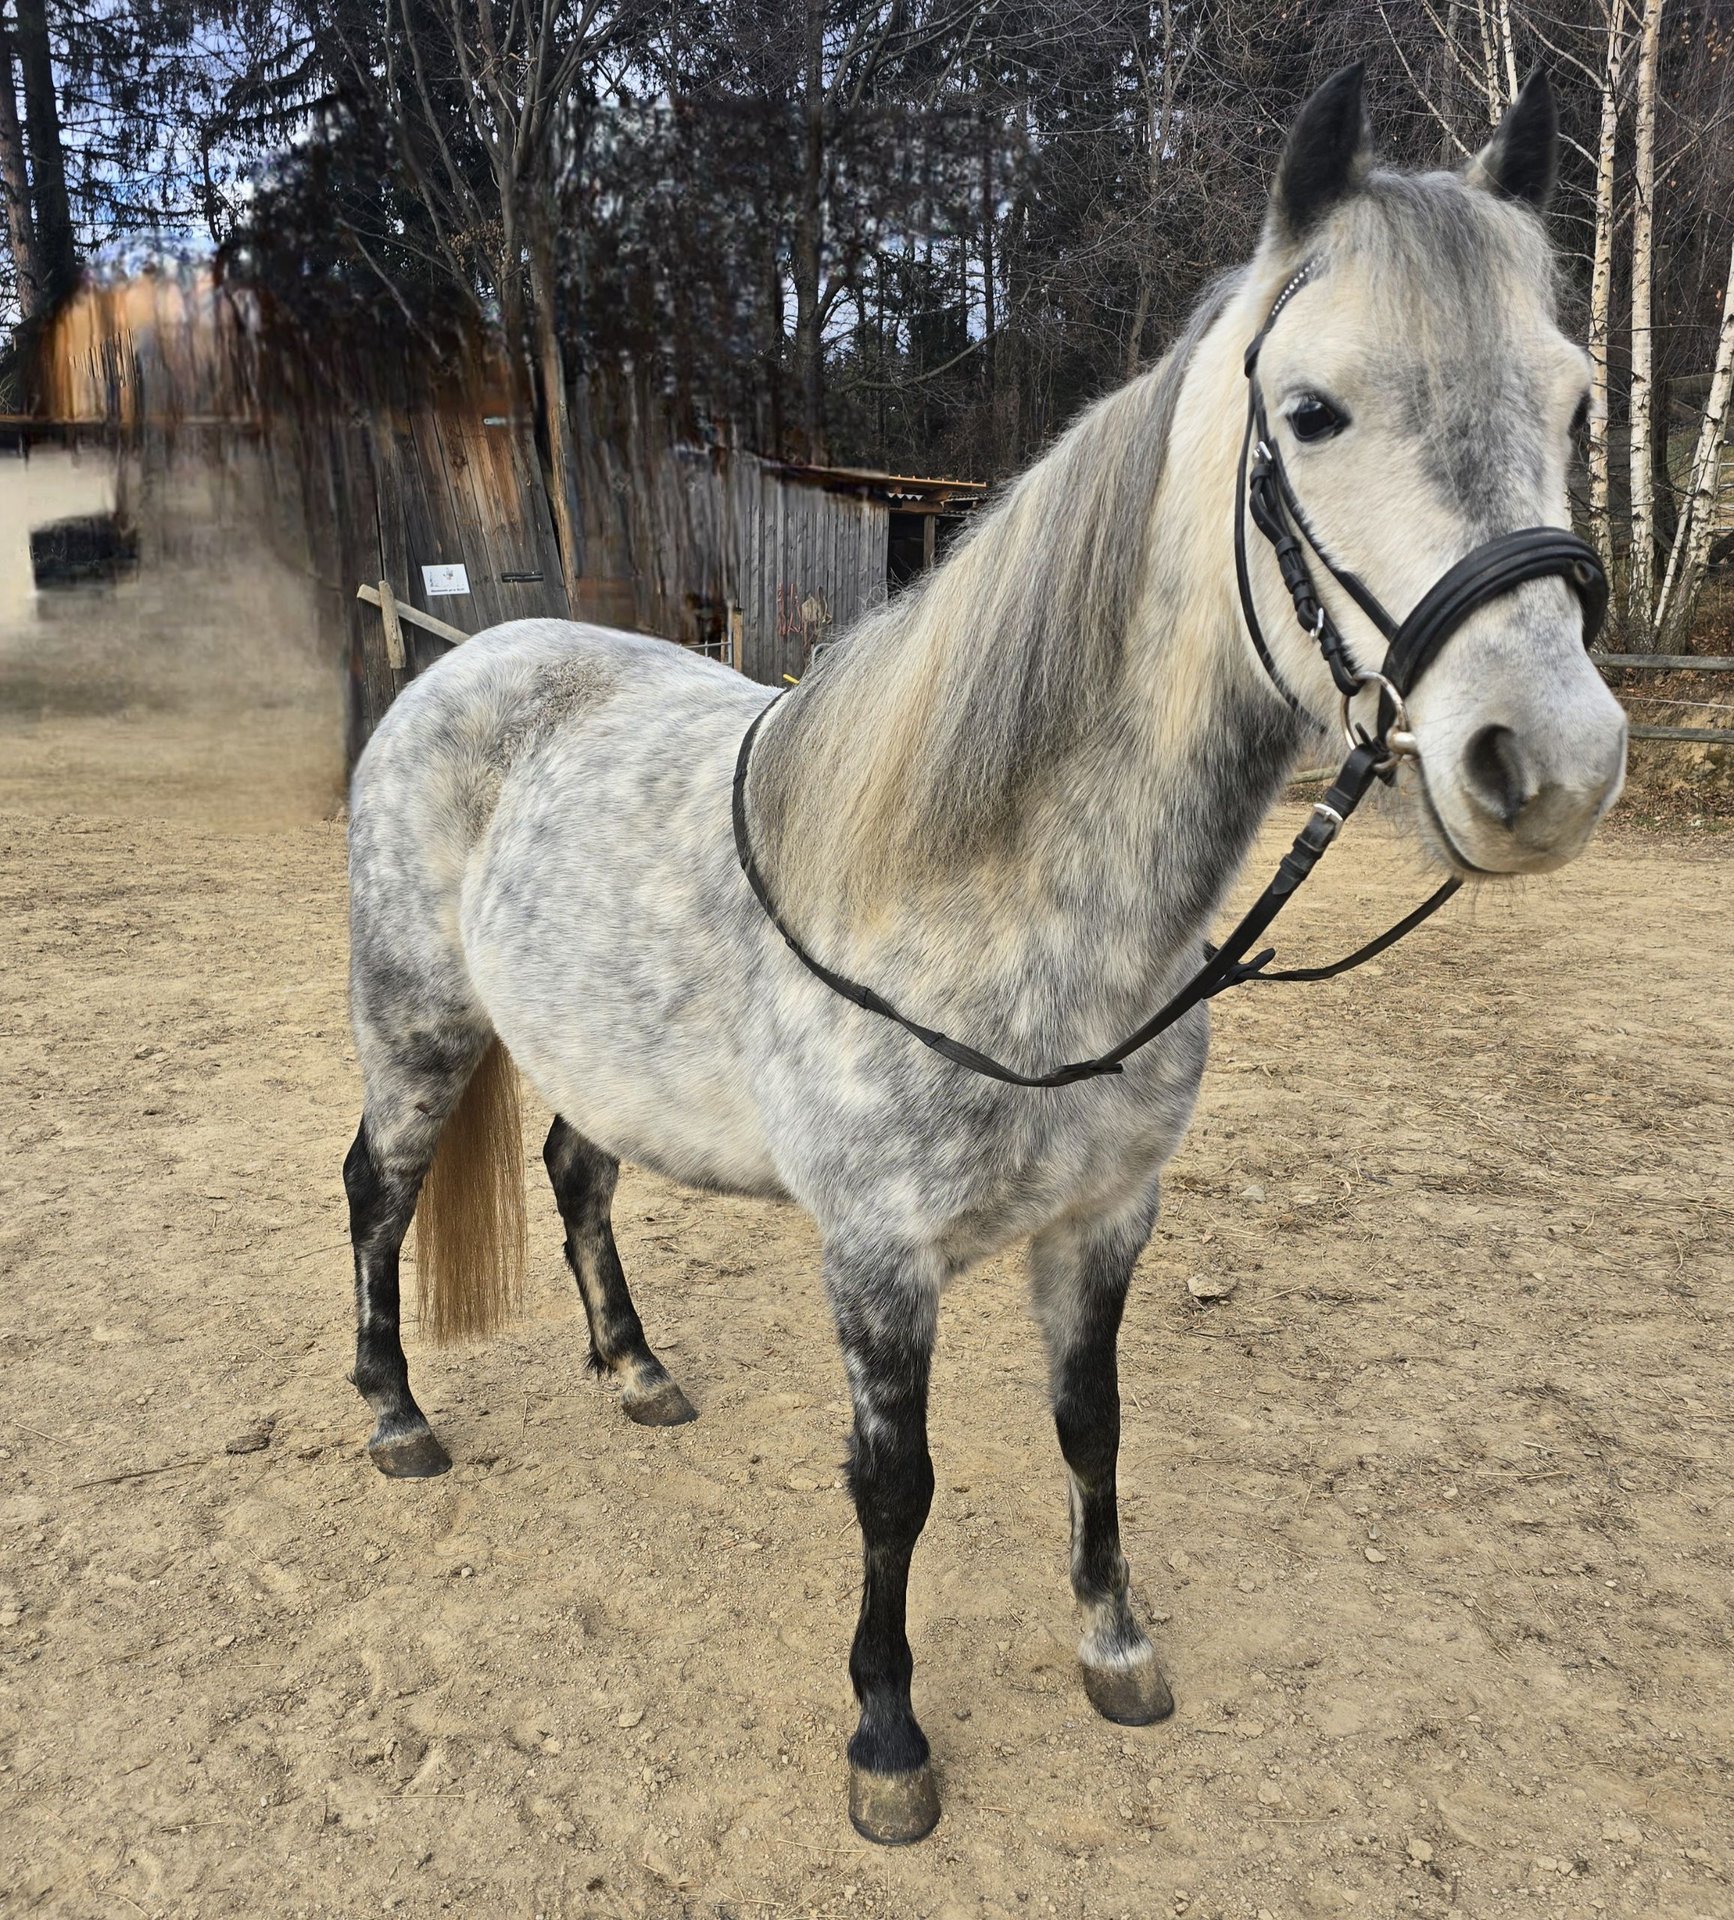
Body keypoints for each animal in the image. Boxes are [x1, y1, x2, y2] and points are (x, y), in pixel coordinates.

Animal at [342, 66, 1627, 1845]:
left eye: (1573, 406)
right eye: (1313, 412)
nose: (1550, 763)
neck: (1012, 903)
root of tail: (467, 658)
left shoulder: (1104, 1220)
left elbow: (1090, 1427)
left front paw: (1114, 1646)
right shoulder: (878, 1253)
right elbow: (897, 1488)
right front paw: (887, 1739)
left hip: (585, 1059)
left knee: (574, 1174)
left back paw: (636, 1371)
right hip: (415, 1027)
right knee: (376, 1192)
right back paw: (397, 1419)